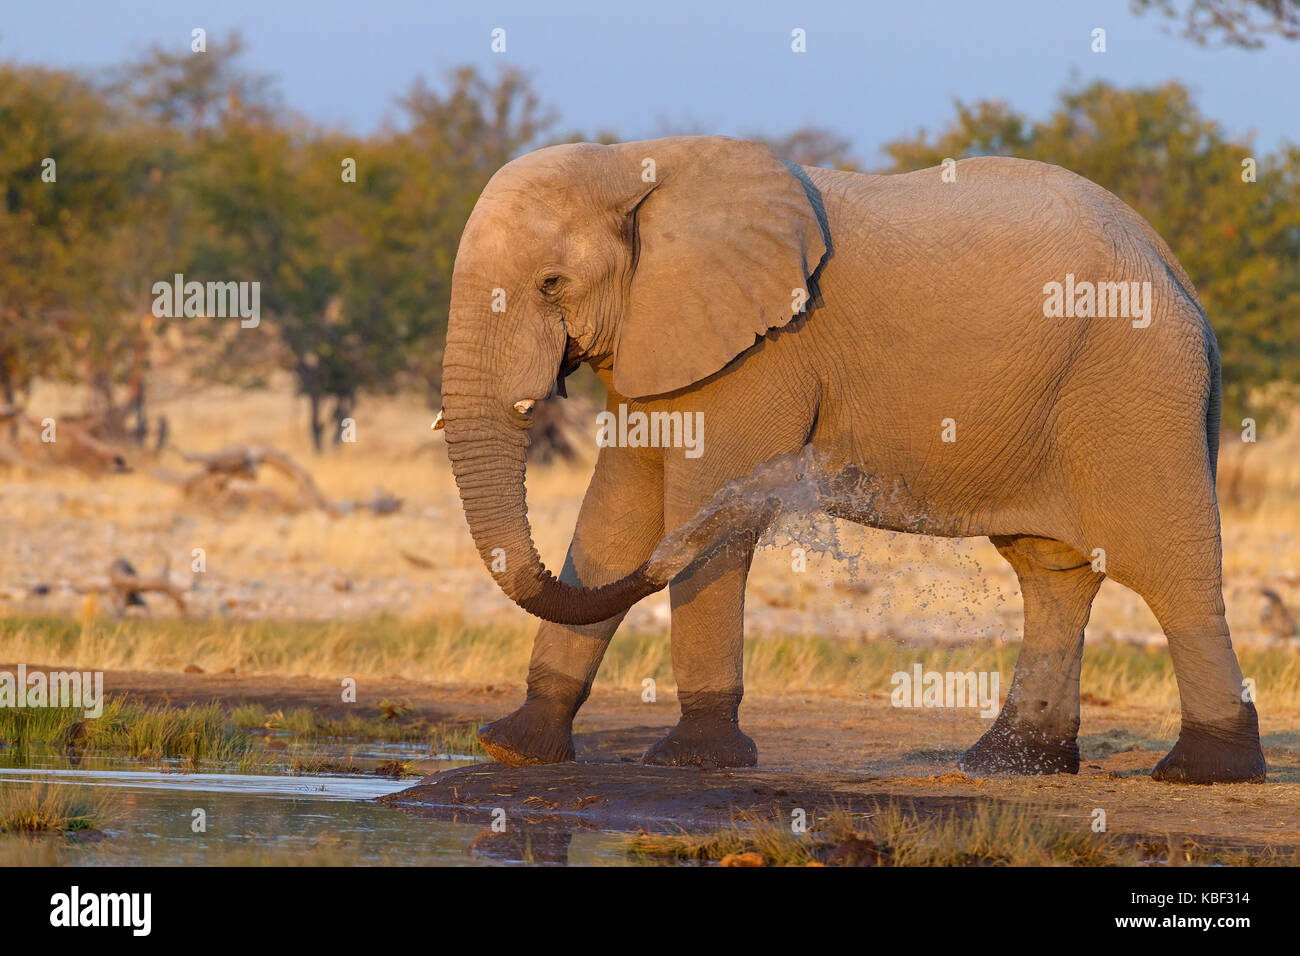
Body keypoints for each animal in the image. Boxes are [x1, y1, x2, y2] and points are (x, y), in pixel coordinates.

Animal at [438, 135, 1266, 785]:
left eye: (551, 284)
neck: (635, 162)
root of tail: (1173, 267)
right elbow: (616, 517)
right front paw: (513, 749)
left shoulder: (764, 352)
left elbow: (702, 509)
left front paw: (692, 760)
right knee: (1053, 571)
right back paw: (1008, 764)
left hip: (1135, 388)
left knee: (1168, 569)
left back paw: (1205, 769)